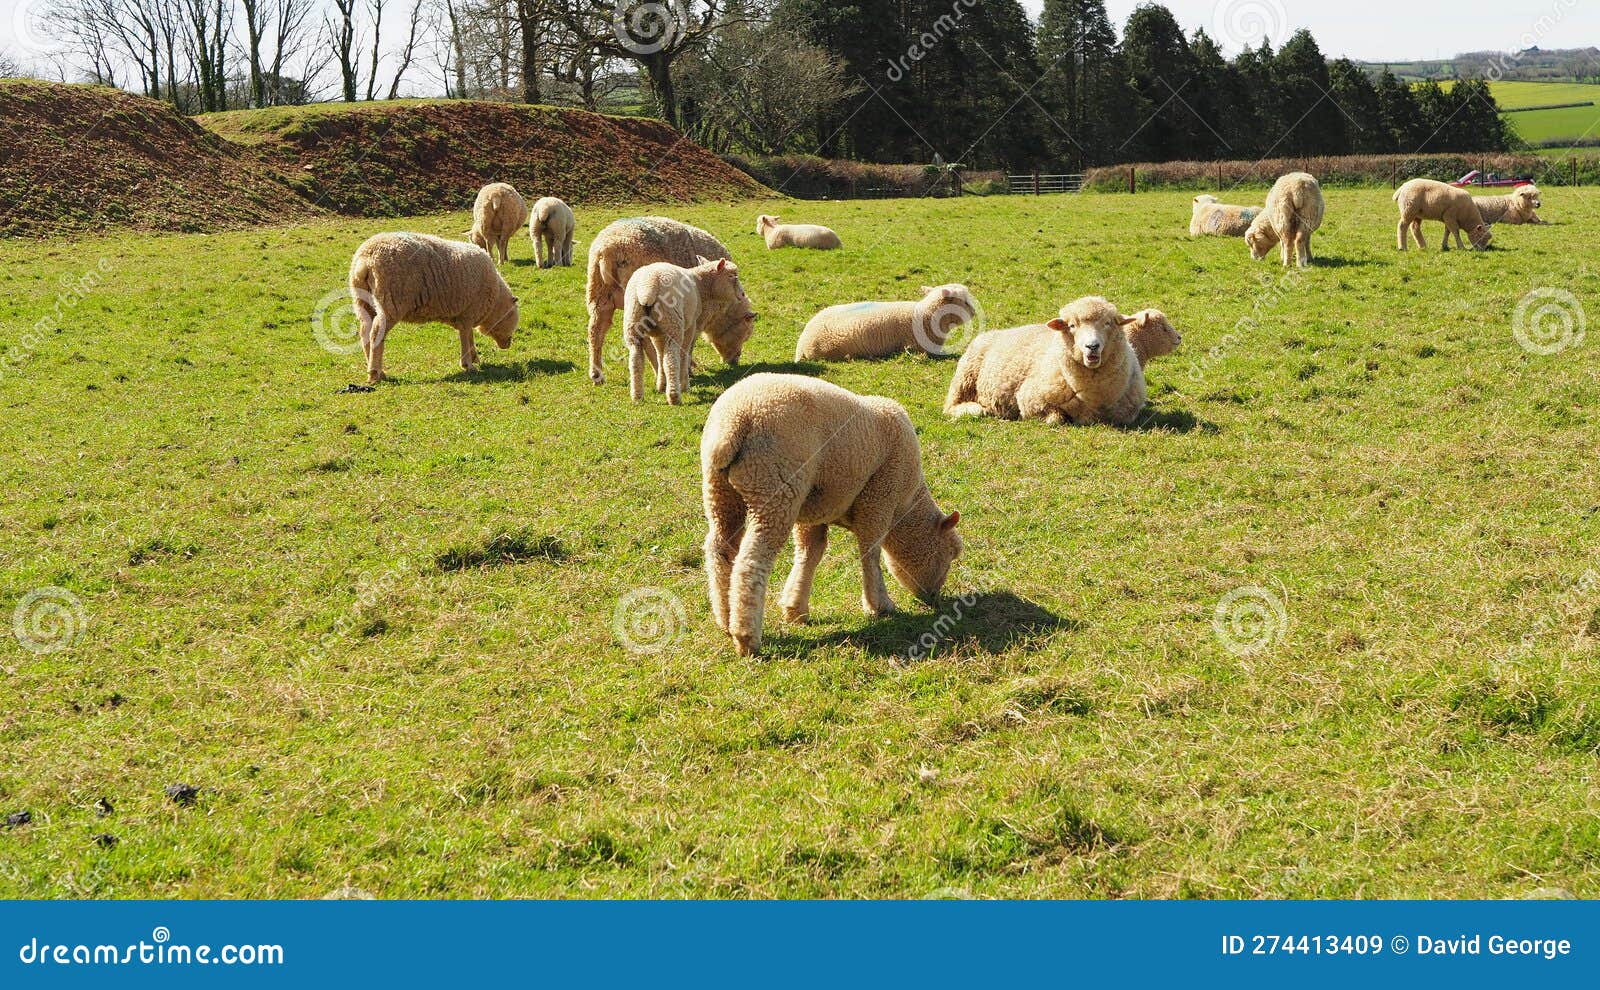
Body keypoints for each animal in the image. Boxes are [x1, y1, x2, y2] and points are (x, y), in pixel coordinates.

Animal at [348, 232, 518, 385]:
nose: (508, 344)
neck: (495, 300)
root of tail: (365, 260)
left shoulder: (464, 315)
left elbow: (469, 336)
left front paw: (474, 357)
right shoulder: (468, 314)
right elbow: (465, 337)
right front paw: (468, 365)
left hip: (362, 301)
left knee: (365, 332)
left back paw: (376, 370)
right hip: (391, 302)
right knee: (376, 332)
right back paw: (375, 374)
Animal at [585, 217, 737, 386]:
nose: (734, 362)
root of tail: (607, 250)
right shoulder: (698, 316)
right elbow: (690, 343)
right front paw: (688, 368)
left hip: (599, 295)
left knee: (596, 331)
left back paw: (596, 374)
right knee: (644, 339)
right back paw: (658, 370)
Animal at [622, 257, 757, 405]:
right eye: (731, 276)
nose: (742, 294)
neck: (701, 286)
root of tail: (647, 288)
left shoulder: (658, 334)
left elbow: (659, 355)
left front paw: (661, 385)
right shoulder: (691, 326)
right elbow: (685, 353)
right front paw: (684, 383)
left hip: (633, 322)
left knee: (636, 360)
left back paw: (637, 396)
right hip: (673, 323)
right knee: (671, 359)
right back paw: (674, 396)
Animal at [701, 372, 962, 656]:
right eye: (950, 555)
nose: (934, 598)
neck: (906, 506)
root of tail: (733, 424)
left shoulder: (815, 510)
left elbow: (809, 553)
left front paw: (795, 608)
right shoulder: (879, 497)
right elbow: (870, 552)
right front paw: (879, 605)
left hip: (721, 490)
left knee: (720, 550)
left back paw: (725, 619)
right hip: (776, 486)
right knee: (752, 559)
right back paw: (746, 637)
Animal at [943, 296, 1145, 427]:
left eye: (1108, 323)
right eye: (1072, 325)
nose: (1092, 346)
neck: (1094, 397)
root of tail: (992, 332)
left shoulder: (1128, 413)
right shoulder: (1030, 400)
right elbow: (1055, 420)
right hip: (965, 378)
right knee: (951, 406)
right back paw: (973, 409)